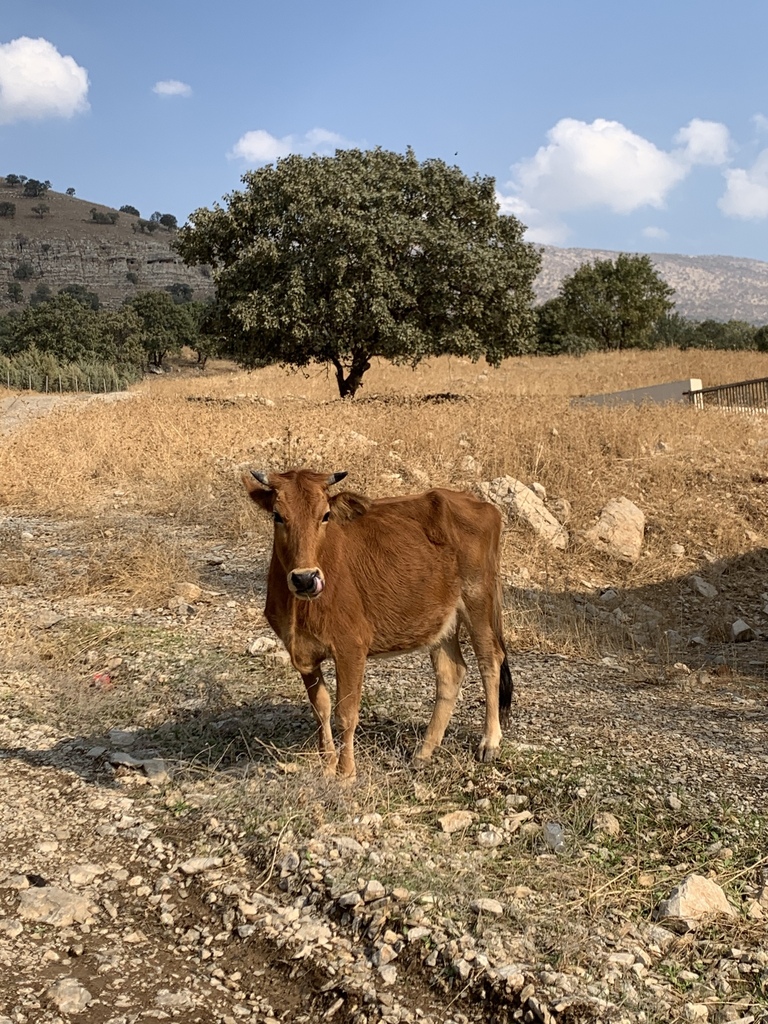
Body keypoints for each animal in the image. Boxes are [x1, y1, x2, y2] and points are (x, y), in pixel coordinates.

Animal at [243, 468, 513, 780]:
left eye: (325, 515)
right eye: (278, 515)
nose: (305, 578)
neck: (300, 607)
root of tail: (478, 503)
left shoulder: (351, 647)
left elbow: (345, 714)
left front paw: (346, 773)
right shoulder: (303, 652)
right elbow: (321, 709)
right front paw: (328, 765)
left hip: (478, 599)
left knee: (490, 661)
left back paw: (489, 742)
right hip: (442, 618)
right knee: (451, 673)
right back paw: (424, 752)